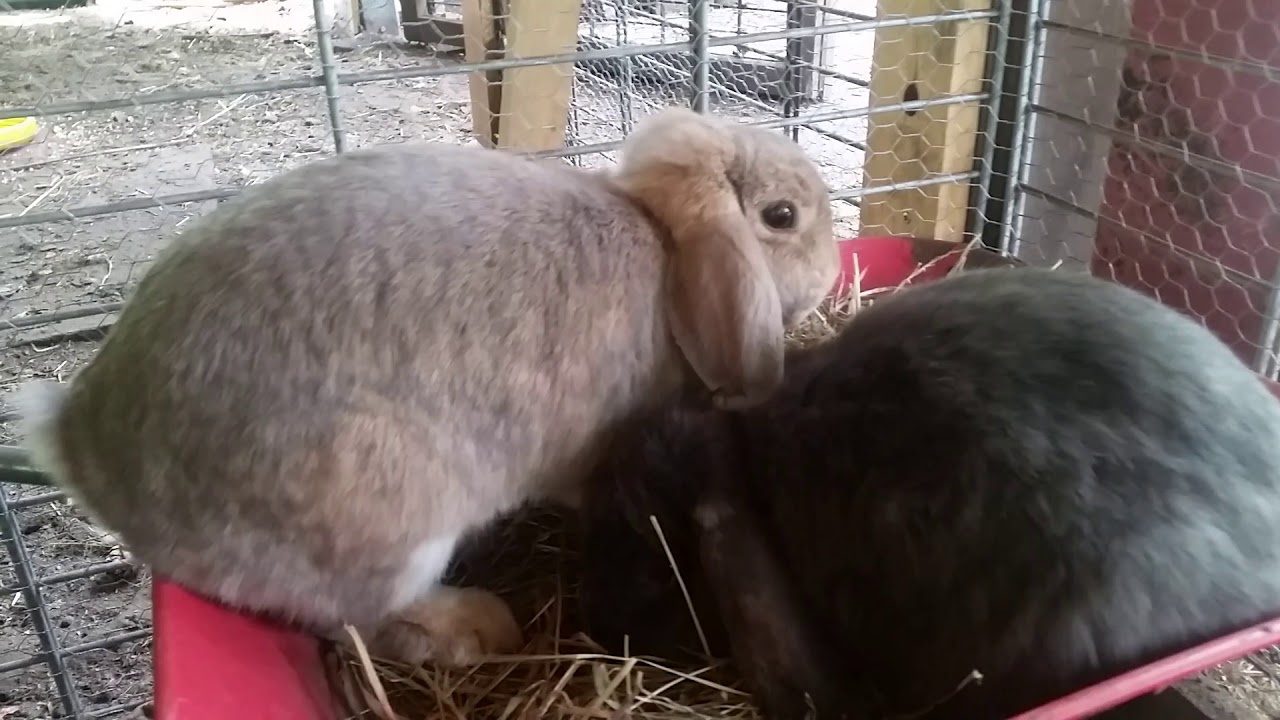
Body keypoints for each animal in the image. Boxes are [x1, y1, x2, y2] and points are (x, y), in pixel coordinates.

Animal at [8, 106, 840, 668]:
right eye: (783, 216)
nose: (832, 267)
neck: (668, 252)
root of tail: (87, 448)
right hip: (383, 508)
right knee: (355, 619)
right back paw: (473, 627)